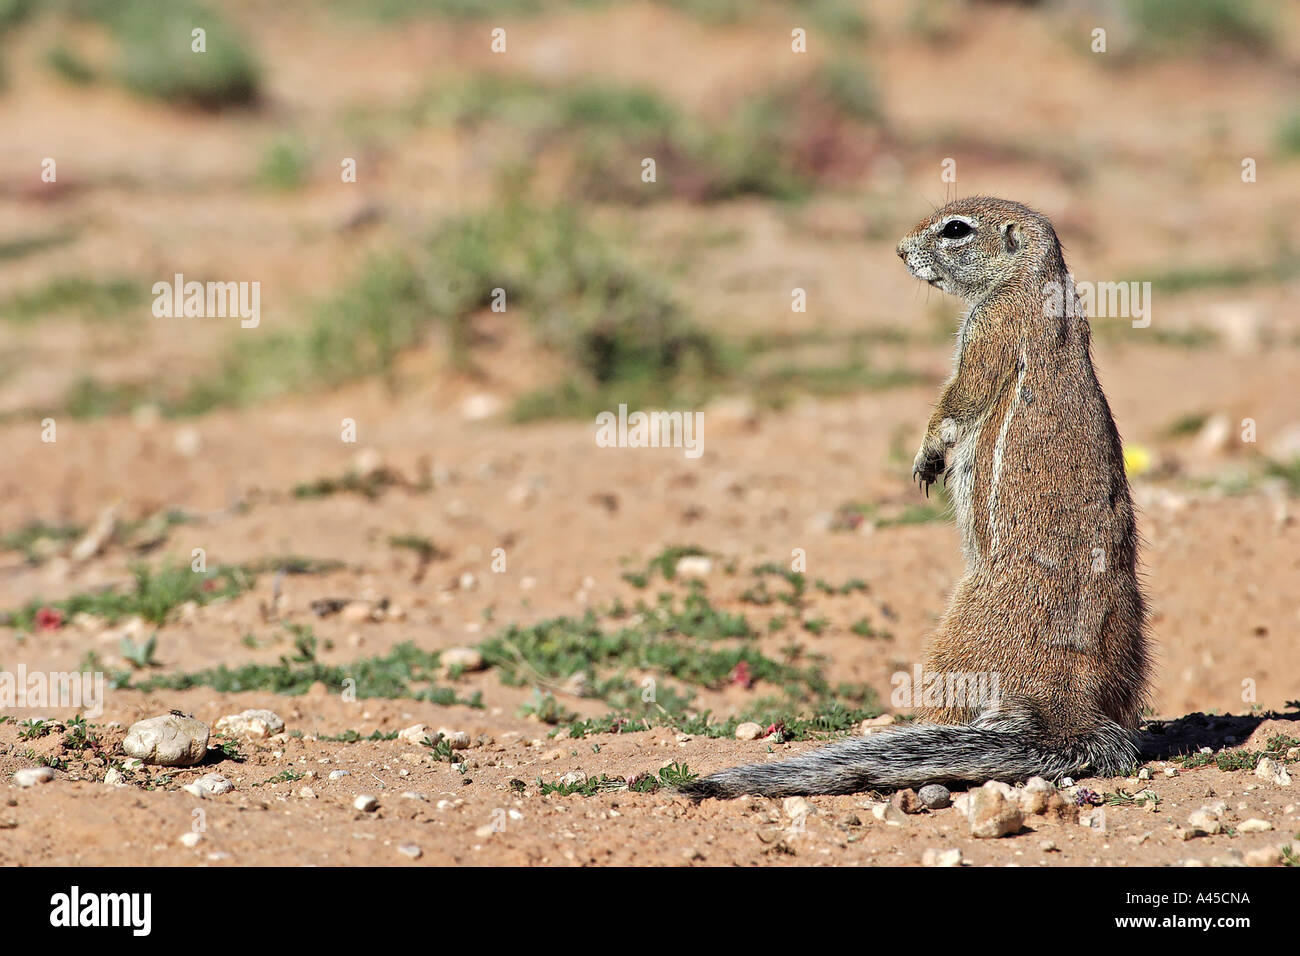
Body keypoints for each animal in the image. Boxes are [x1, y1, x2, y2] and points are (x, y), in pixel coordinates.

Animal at [682, 197, 1150, 798]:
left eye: (956, 229)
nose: (900, 251)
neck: (1034, 281)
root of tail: (1066, 710)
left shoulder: (989, 330)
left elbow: (958, 399)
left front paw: (926, 456)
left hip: (955, 644)